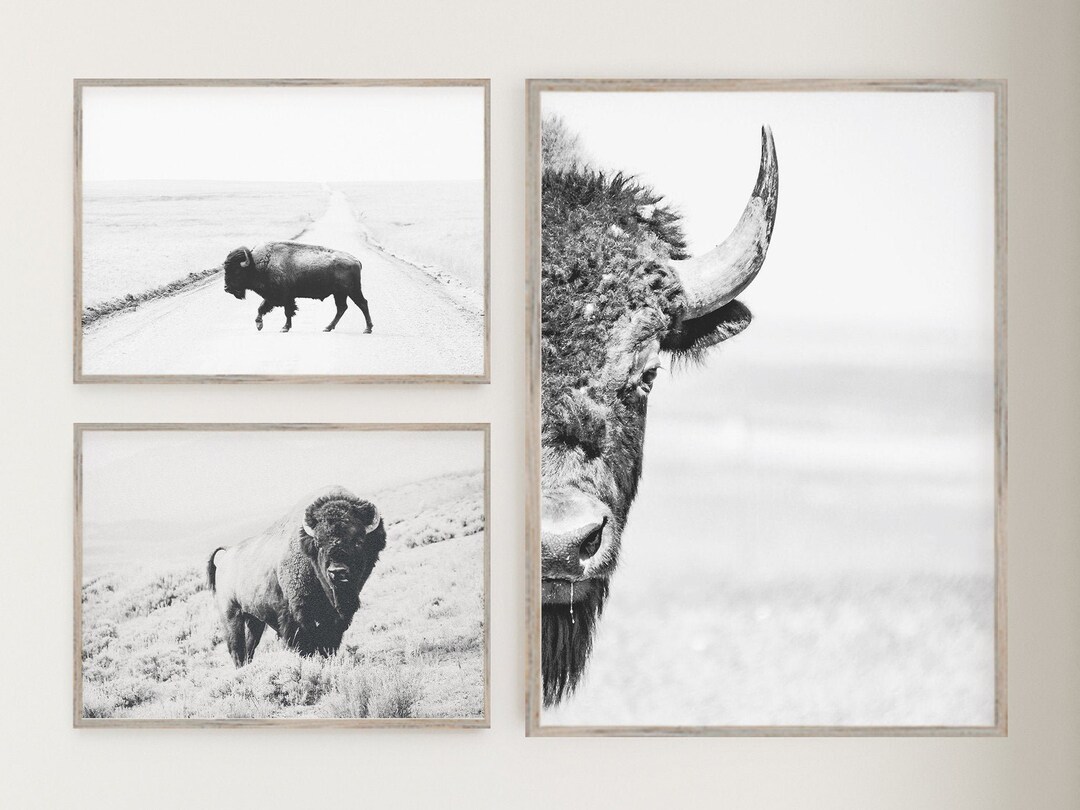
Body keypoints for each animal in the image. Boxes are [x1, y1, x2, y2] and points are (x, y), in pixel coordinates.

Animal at [207, 486, 386, 666]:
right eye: (318, 543)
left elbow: (328, 644)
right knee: (237, 649)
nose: (337, 571)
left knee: (250, 647)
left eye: (358, 541)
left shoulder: (335, 619)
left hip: (254, 619)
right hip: (231, 615)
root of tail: (227, 553)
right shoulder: (296, 615)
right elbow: (303, 645)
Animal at [223, 242, 374, 333]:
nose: (226, 288)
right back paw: (327, 327)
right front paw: (259, 325)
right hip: (339, 293)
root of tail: (356, 260)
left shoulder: (284, 297)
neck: (258, 264)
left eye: (236, 271)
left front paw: (284, 328)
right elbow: (261, 308)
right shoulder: (274, 297)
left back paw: (367, 329)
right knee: (342, 308)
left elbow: (287, 312)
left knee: (362, 304)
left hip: (352, 290)